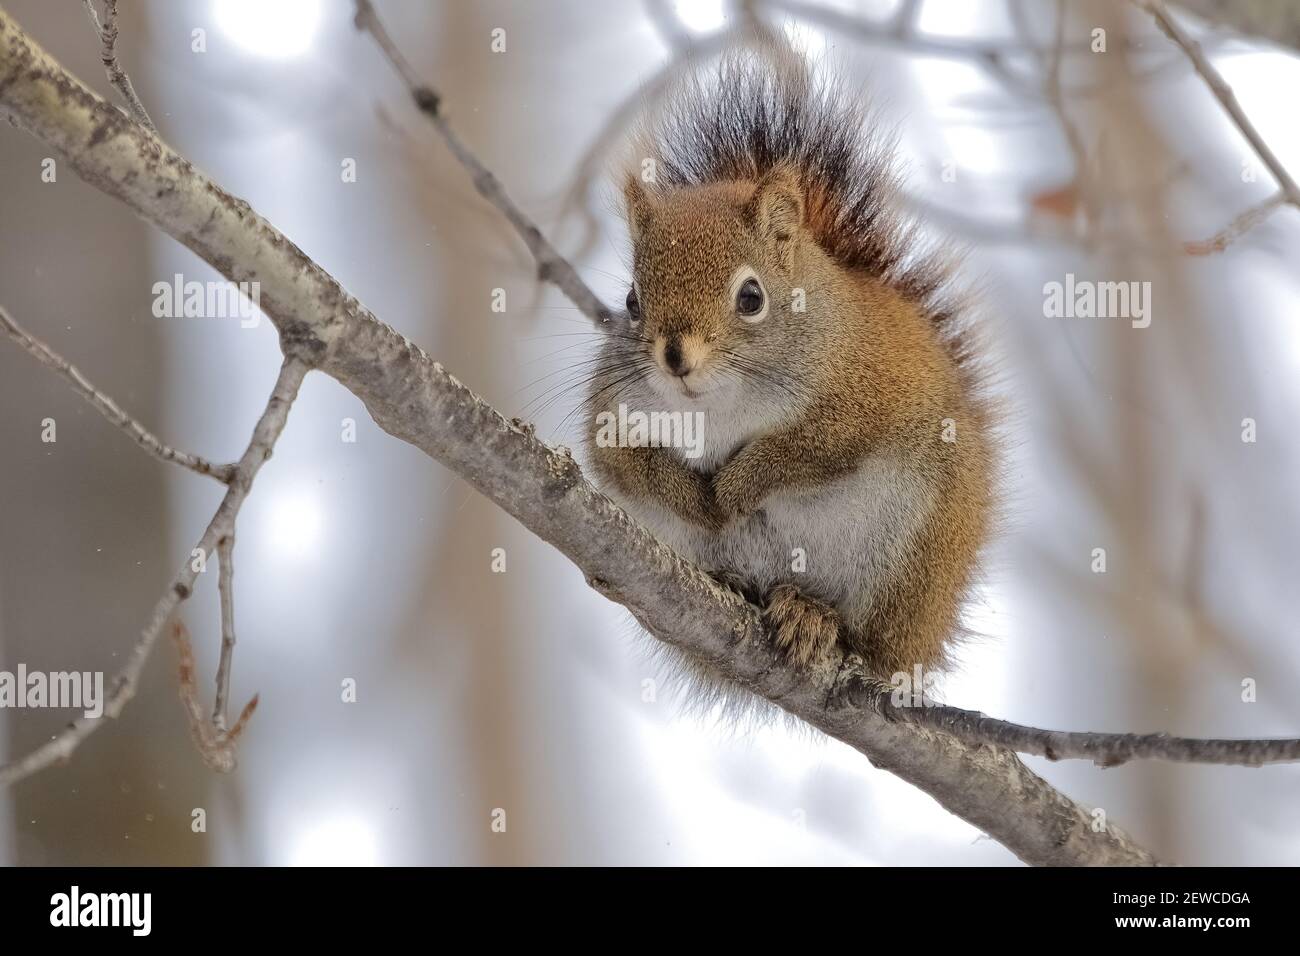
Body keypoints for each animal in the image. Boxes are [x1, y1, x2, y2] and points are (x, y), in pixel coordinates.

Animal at [583, 53, 996, 696]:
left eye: (751, 297)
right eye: (631, 301)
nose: (675, 358)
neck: (718, 405)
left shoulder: (868, 400)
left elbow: (803, 451)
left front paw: (734, 487)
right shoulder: (612, 410)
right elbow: (627, 463)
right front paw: (695, 499)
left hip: (907, 564)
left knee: (868, 638)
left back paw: (813, 617)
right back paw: (733, 583)